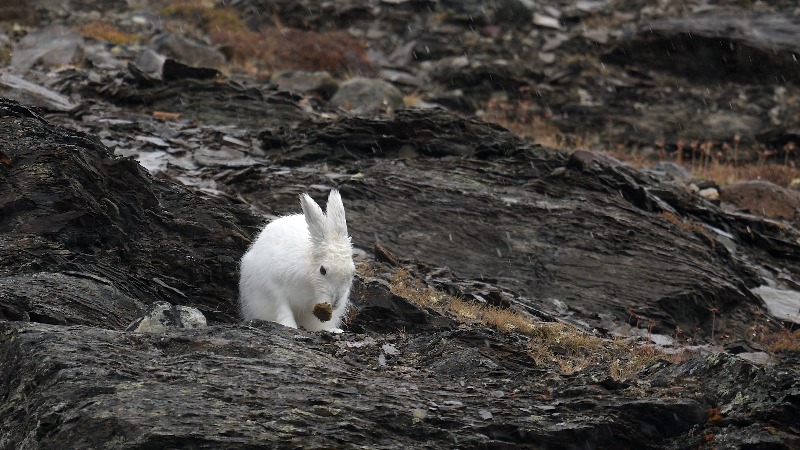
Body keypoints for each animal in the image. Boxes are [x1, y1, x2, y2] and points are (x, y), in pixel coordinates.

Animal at [239, 190, 355, 332]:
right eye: (322, 270)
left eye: (352, 272)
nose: (335, 302)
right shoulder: (273, 287)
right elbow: (282, 308)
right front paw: (290, 326)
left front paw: (332, 330)